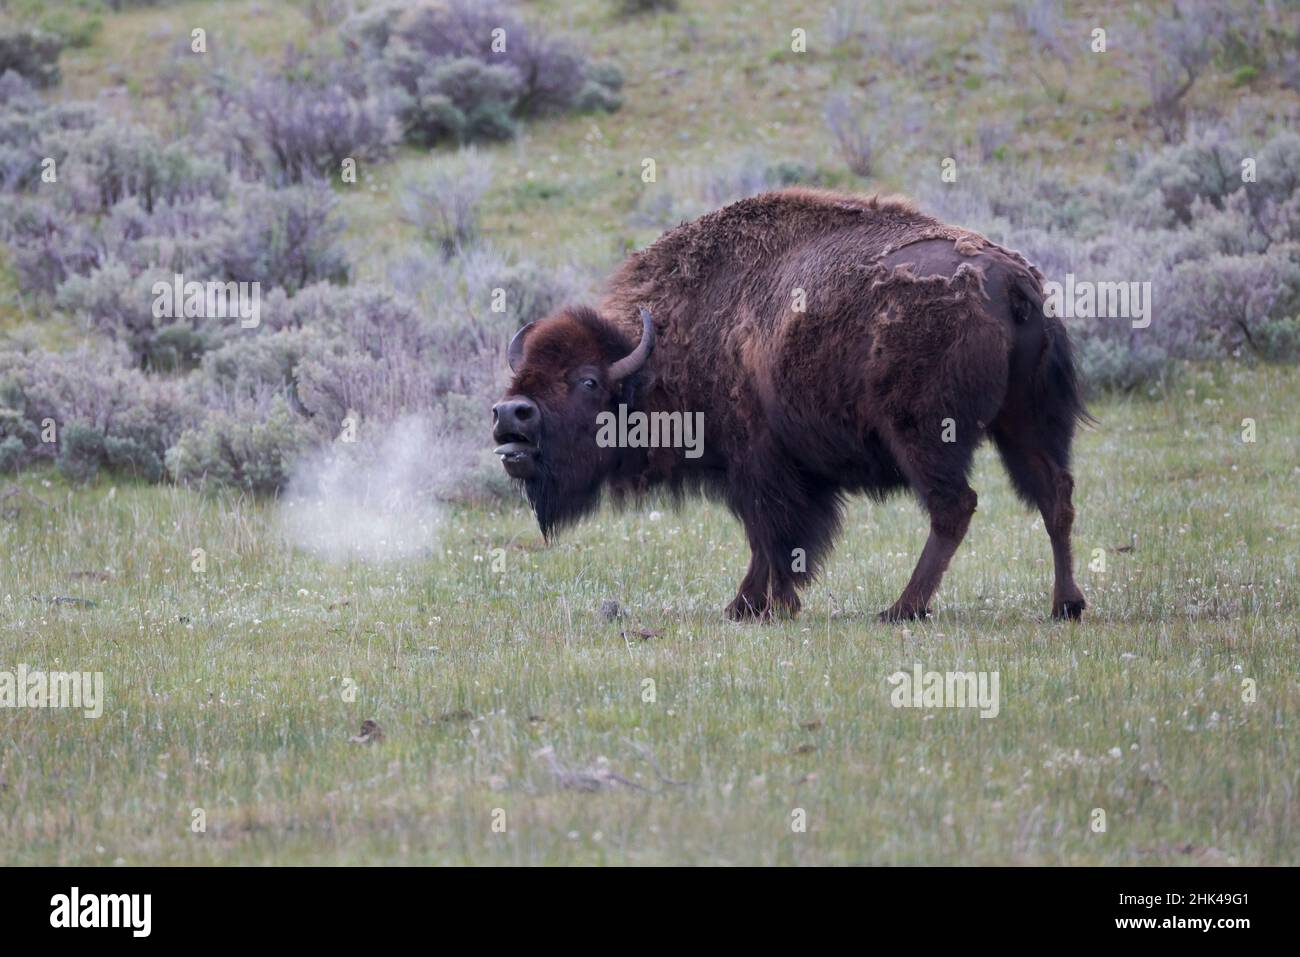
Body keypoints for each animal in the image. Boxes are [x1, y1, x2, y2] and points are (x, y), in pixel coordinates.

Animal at [492, 188, 1089, 622]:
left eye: (588, 381)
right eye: (521, 374)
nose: (510, 415)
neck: (662, 348)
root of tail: (1013, 283)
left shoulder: (758, 465)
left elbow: (771, 534)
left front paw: (758, 605)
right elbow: (774, 537)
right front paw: (752, 604)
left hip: (924, 434)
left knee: (954, 506)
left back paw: (901, 609)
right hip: (1028, 422)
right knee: (1054, 496)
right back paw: (1066, 605)